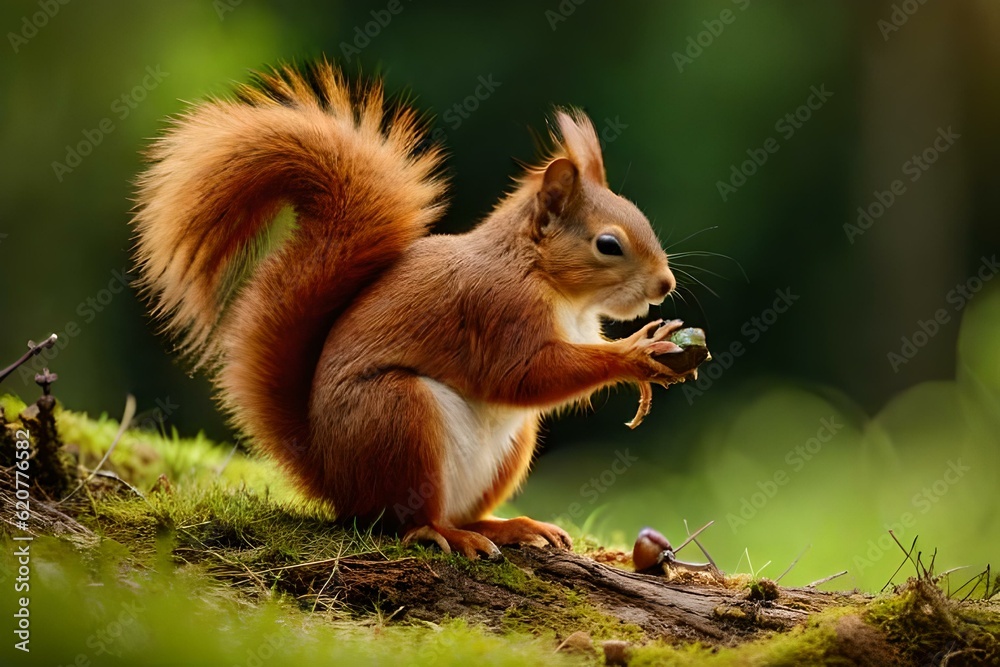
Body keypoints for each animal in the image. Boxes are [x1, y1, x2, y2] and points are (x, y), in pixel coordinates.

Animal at [131, 59, 685, 559]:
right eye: (608, 244)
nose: (666, 284)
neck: (554, 284)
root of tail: (333, 479)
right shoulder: (498, 308)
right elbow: (524, 376)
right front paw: (636, 355)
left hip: (507, 445)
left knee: (464, 510)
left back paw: (508, 527)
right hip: (397, 418)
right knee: (403, 519)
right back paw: (443, 535)